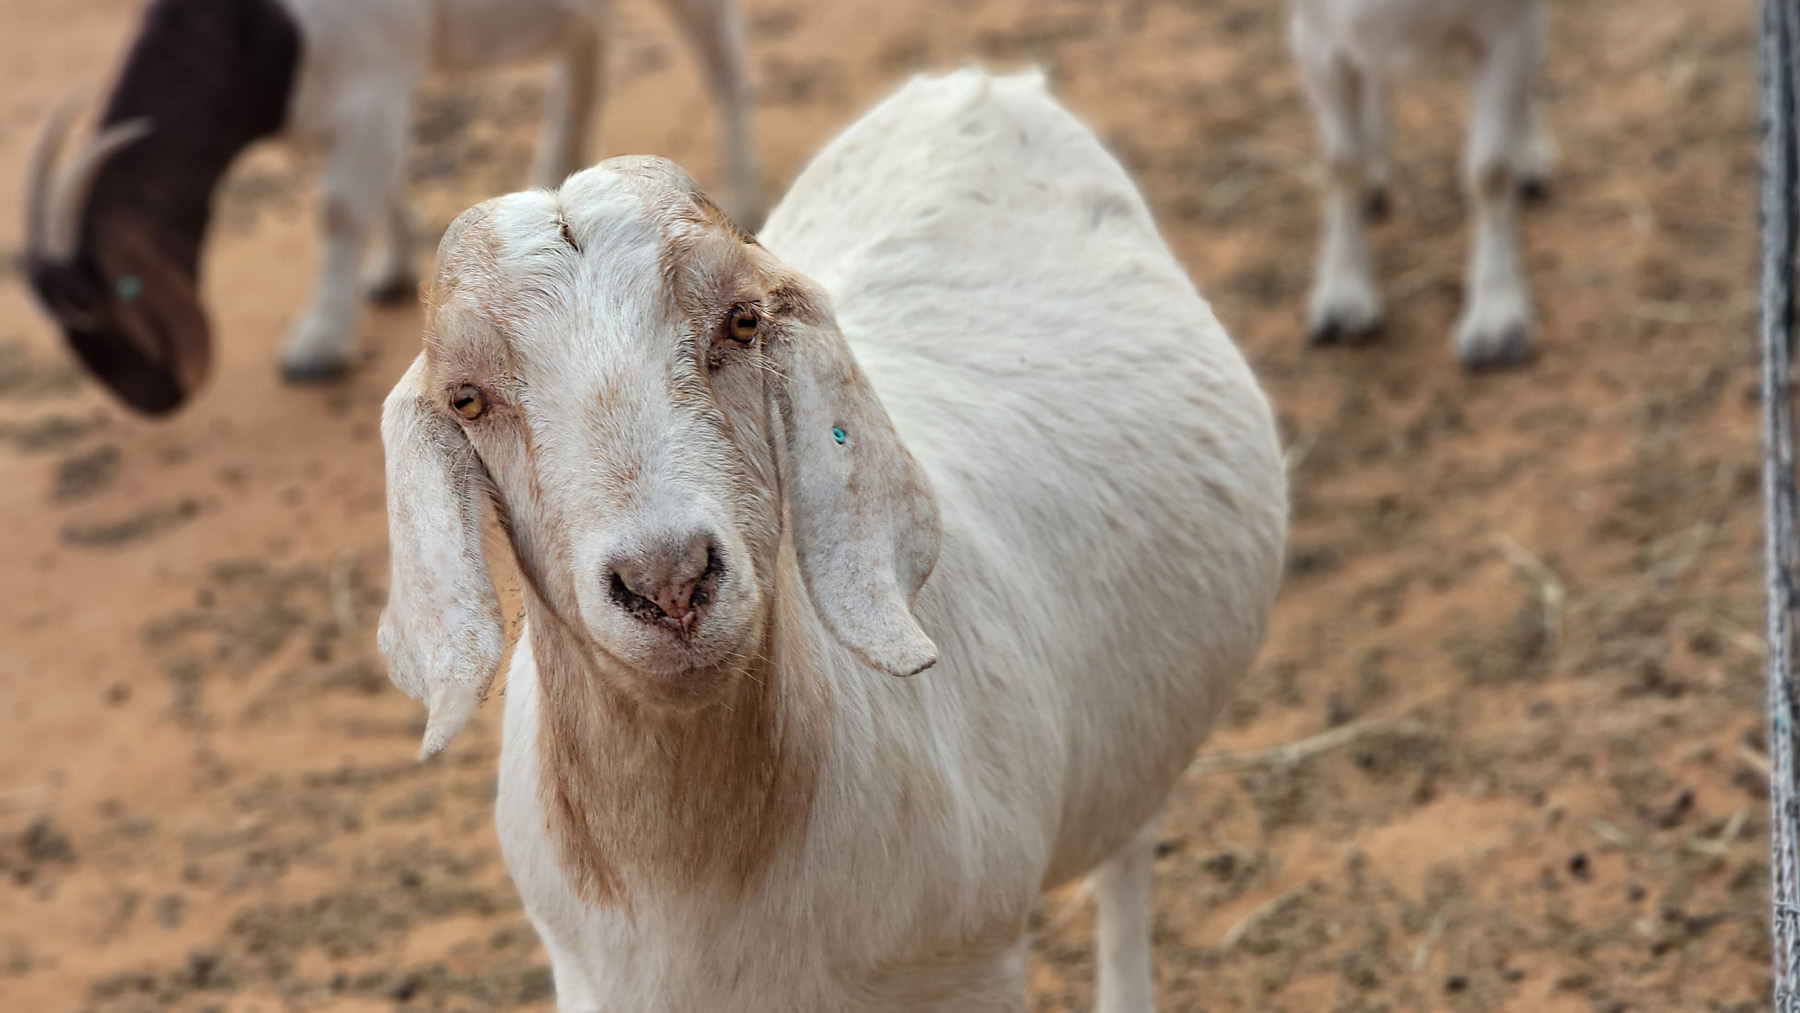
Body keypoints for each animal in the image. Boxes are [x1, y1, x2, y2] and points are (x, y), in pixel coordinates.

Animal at [23, 0, 759, 414]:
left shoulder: (368, 87)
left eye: (123, 290)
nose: (155, 401)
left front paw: (317, 344)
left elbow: (339, 209)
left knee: (724, 65)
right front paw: (391, 272)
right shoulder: (337, 108)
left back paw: (740, 194)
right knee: (586, 46)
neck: (260, 25)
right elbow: (382, 185)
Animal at [377, 68, 1286, 1011]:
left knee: (1129, 851)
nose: (669, 581)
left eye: (742, 321)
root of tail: (985, 88)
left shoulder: (971, 965)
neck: (700, 879)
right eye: (467, 397)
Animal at [1292, 0, 1553, 367]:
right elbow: (1344, 165)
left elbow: (1491, 174)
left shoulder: (1510, 32)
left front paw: (1495, 317)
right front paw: (1343, 294)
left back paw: (1527, 154)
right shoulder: (1315, 40)